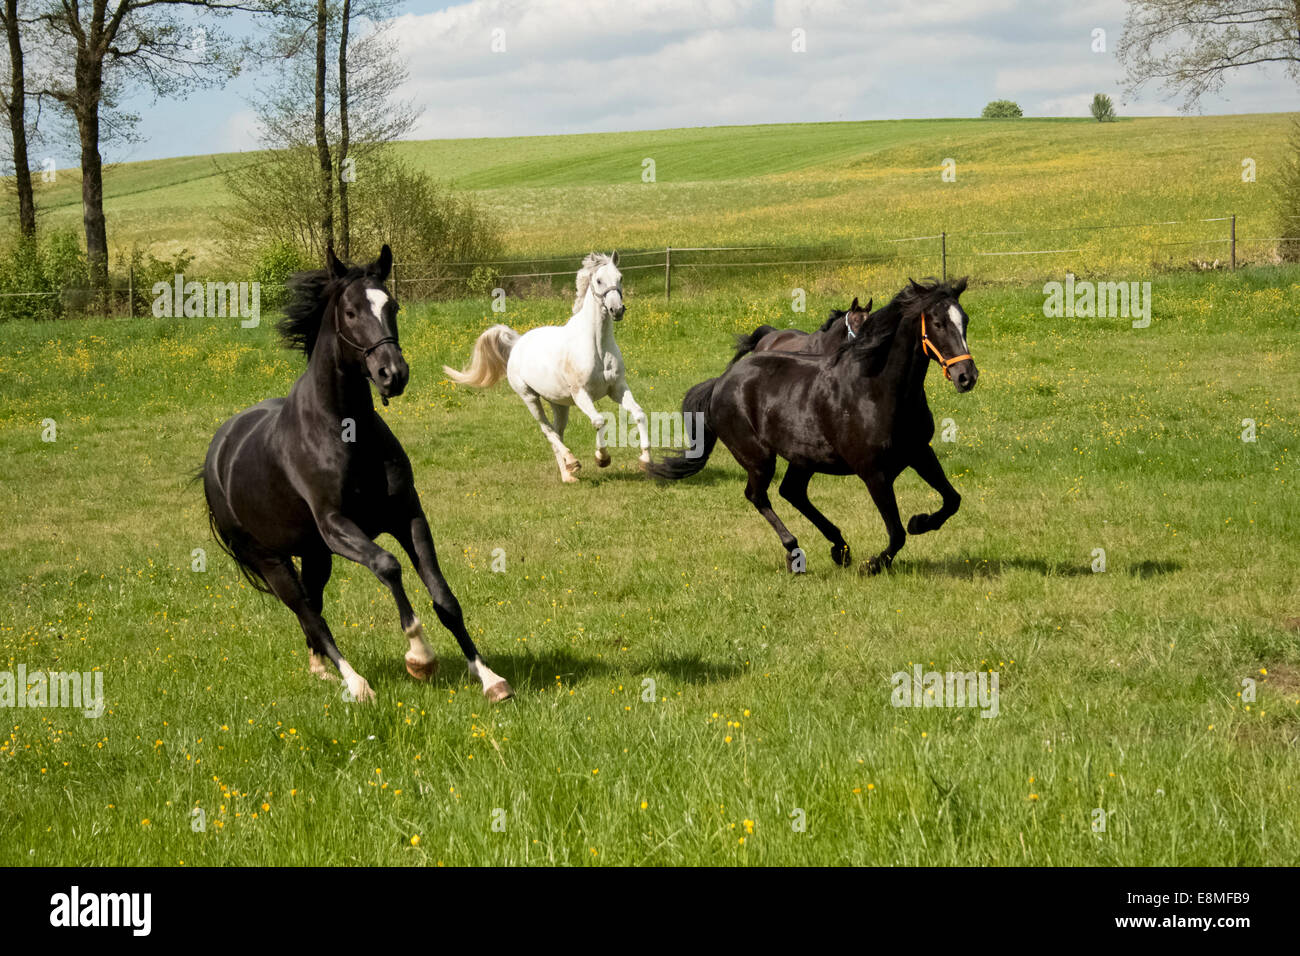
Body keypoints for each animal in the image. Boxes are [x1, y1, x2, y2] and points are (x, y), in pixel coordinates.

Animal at [201, 245, 513, 704]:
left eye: (392, 306)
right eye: (350, 312)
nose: (393, 374)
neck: (346, 432)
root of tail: (216, 456)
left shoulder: (407, 516)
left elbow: (444, 597)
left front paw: (490, 678)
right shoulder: (337, 526)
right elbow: (388, 566)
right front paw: (420, 657)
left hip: (315, 555)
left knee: (313, 606)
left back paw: (321, 671)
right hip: (271, 559)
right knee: (308, 612)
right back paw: (355, 683)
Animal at [442, 252, 651, 482]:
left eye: (620, 277)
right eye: (598, 280)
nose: (617, 310)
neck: (597, 346)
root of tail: (517, 342)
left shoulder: (617, 388)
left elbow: (639, 413)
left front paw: (645, 460)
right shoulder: (581, 393)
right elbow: (598, 421)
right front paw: (602, 458)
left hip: (559, 403)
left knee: (556, 431)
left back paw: (568, 474)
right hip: (530, 397)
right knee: (547, 430)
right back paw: (572, 463)